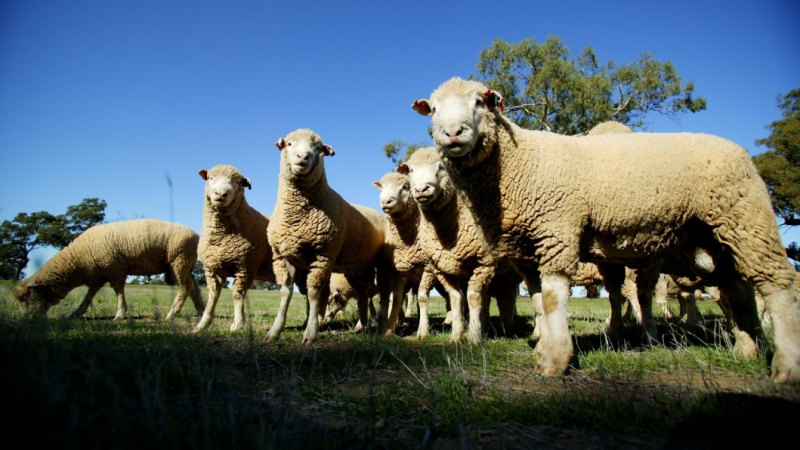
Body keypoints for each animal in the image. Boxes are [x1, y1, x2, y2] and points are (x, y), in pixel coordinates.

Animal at [13, 218, 204, 320]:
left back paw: (172, 314)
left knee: (185, 287)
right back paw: (200, 311)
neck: (76, 261)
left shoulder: (115, 269)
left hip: (178, 261)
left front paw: (119, 314)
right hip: (182, 264)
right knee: (194, 287)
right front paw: (75, 313)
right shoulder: (98, 276)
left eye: (29, 297)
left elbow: (118, 291)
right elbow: (89, 296)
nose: (26, 319)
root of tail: (197, 236)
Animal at [194, 164, 276, 332]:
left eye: (238, 182)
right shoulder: (212, 268)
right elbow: (213, 295)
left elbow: (237, 295)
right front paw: (202, 324)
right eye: (210, 177)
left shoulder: (245, 266)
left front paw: (238, 324)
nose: (220, 193)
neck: (220, 236)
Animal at [267, 128, 387, 345]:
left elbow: (315, 294)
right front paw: (275, 331)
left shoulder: (323, 255)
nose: (303, 157)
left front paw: (310, 333)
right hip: (355, 268)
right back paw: (361, 326)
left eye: (318, 148)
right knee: (363, 293)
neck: (296, 215)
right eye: (289, 144)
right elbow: (285, 292)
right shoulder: (283, 256)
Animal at [404, 146, 521, 343]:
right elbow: (456, 299)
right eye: (411, 170)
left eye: (441, 167)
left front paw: (473, 338)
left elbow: (473, 297)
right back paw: (502, 327)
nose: (421, 189)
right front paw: (456, 336)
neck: (447, 233)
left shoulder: (484, 263)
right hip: (505, 274)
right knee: (505, 296)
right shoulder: (443, 268)